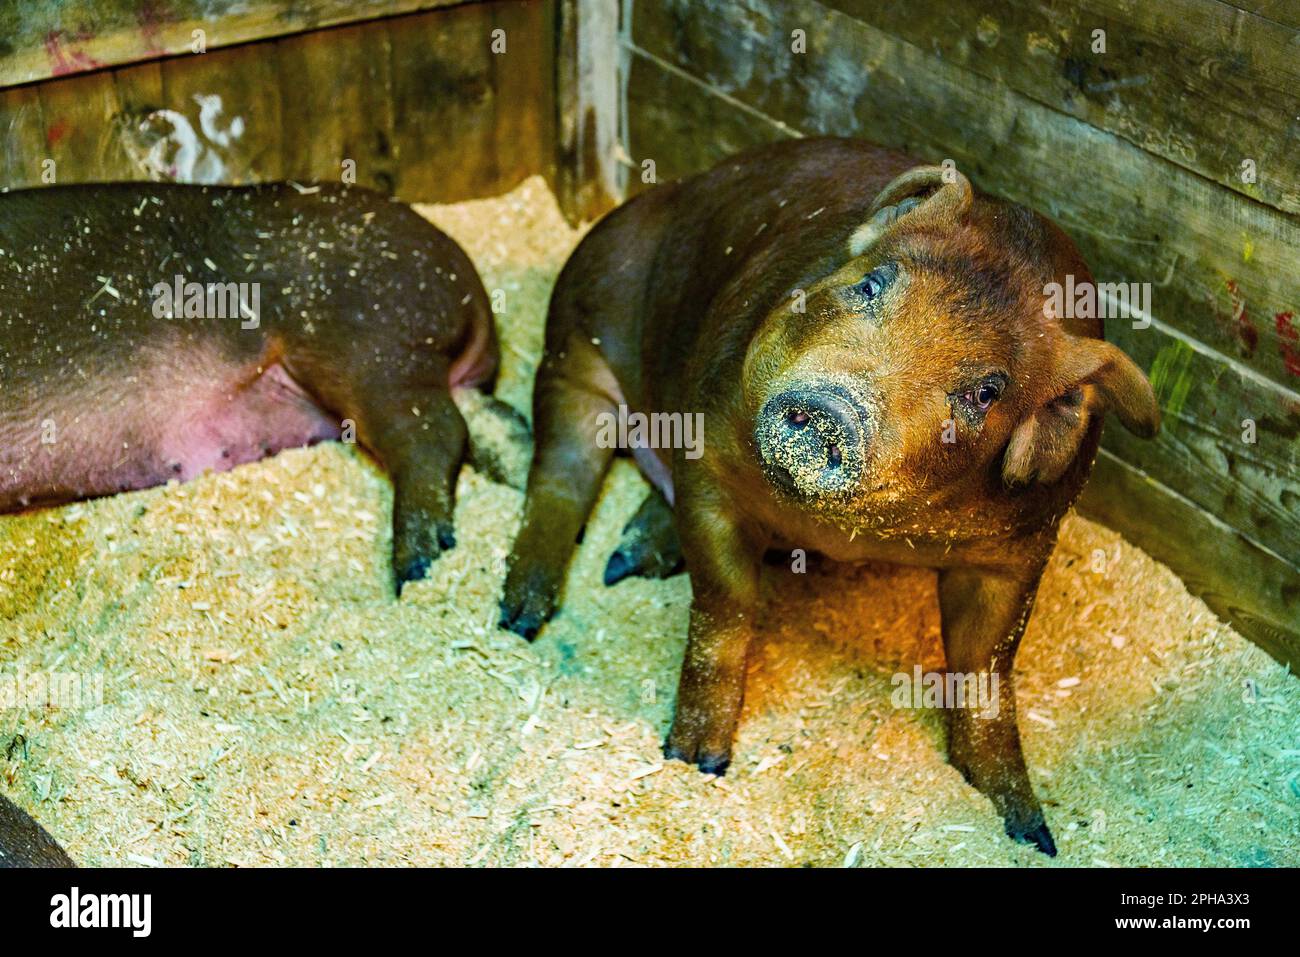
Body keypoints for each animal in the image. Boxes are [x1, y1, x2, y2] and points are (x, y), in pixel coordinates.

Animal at [499, 137, 1160, 855]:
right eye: (871, 285)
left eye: (987, 391)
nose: (833, 407)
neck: (843, 529)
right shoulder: (709, 464)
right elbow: (722, 615)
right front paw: (694, 761)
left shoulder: (1021, 549)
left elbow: (985, 673)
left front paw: (1031, 832)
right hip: (575, 338)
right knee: (559, 474)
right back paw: (521, 618)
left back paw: (626, 559)